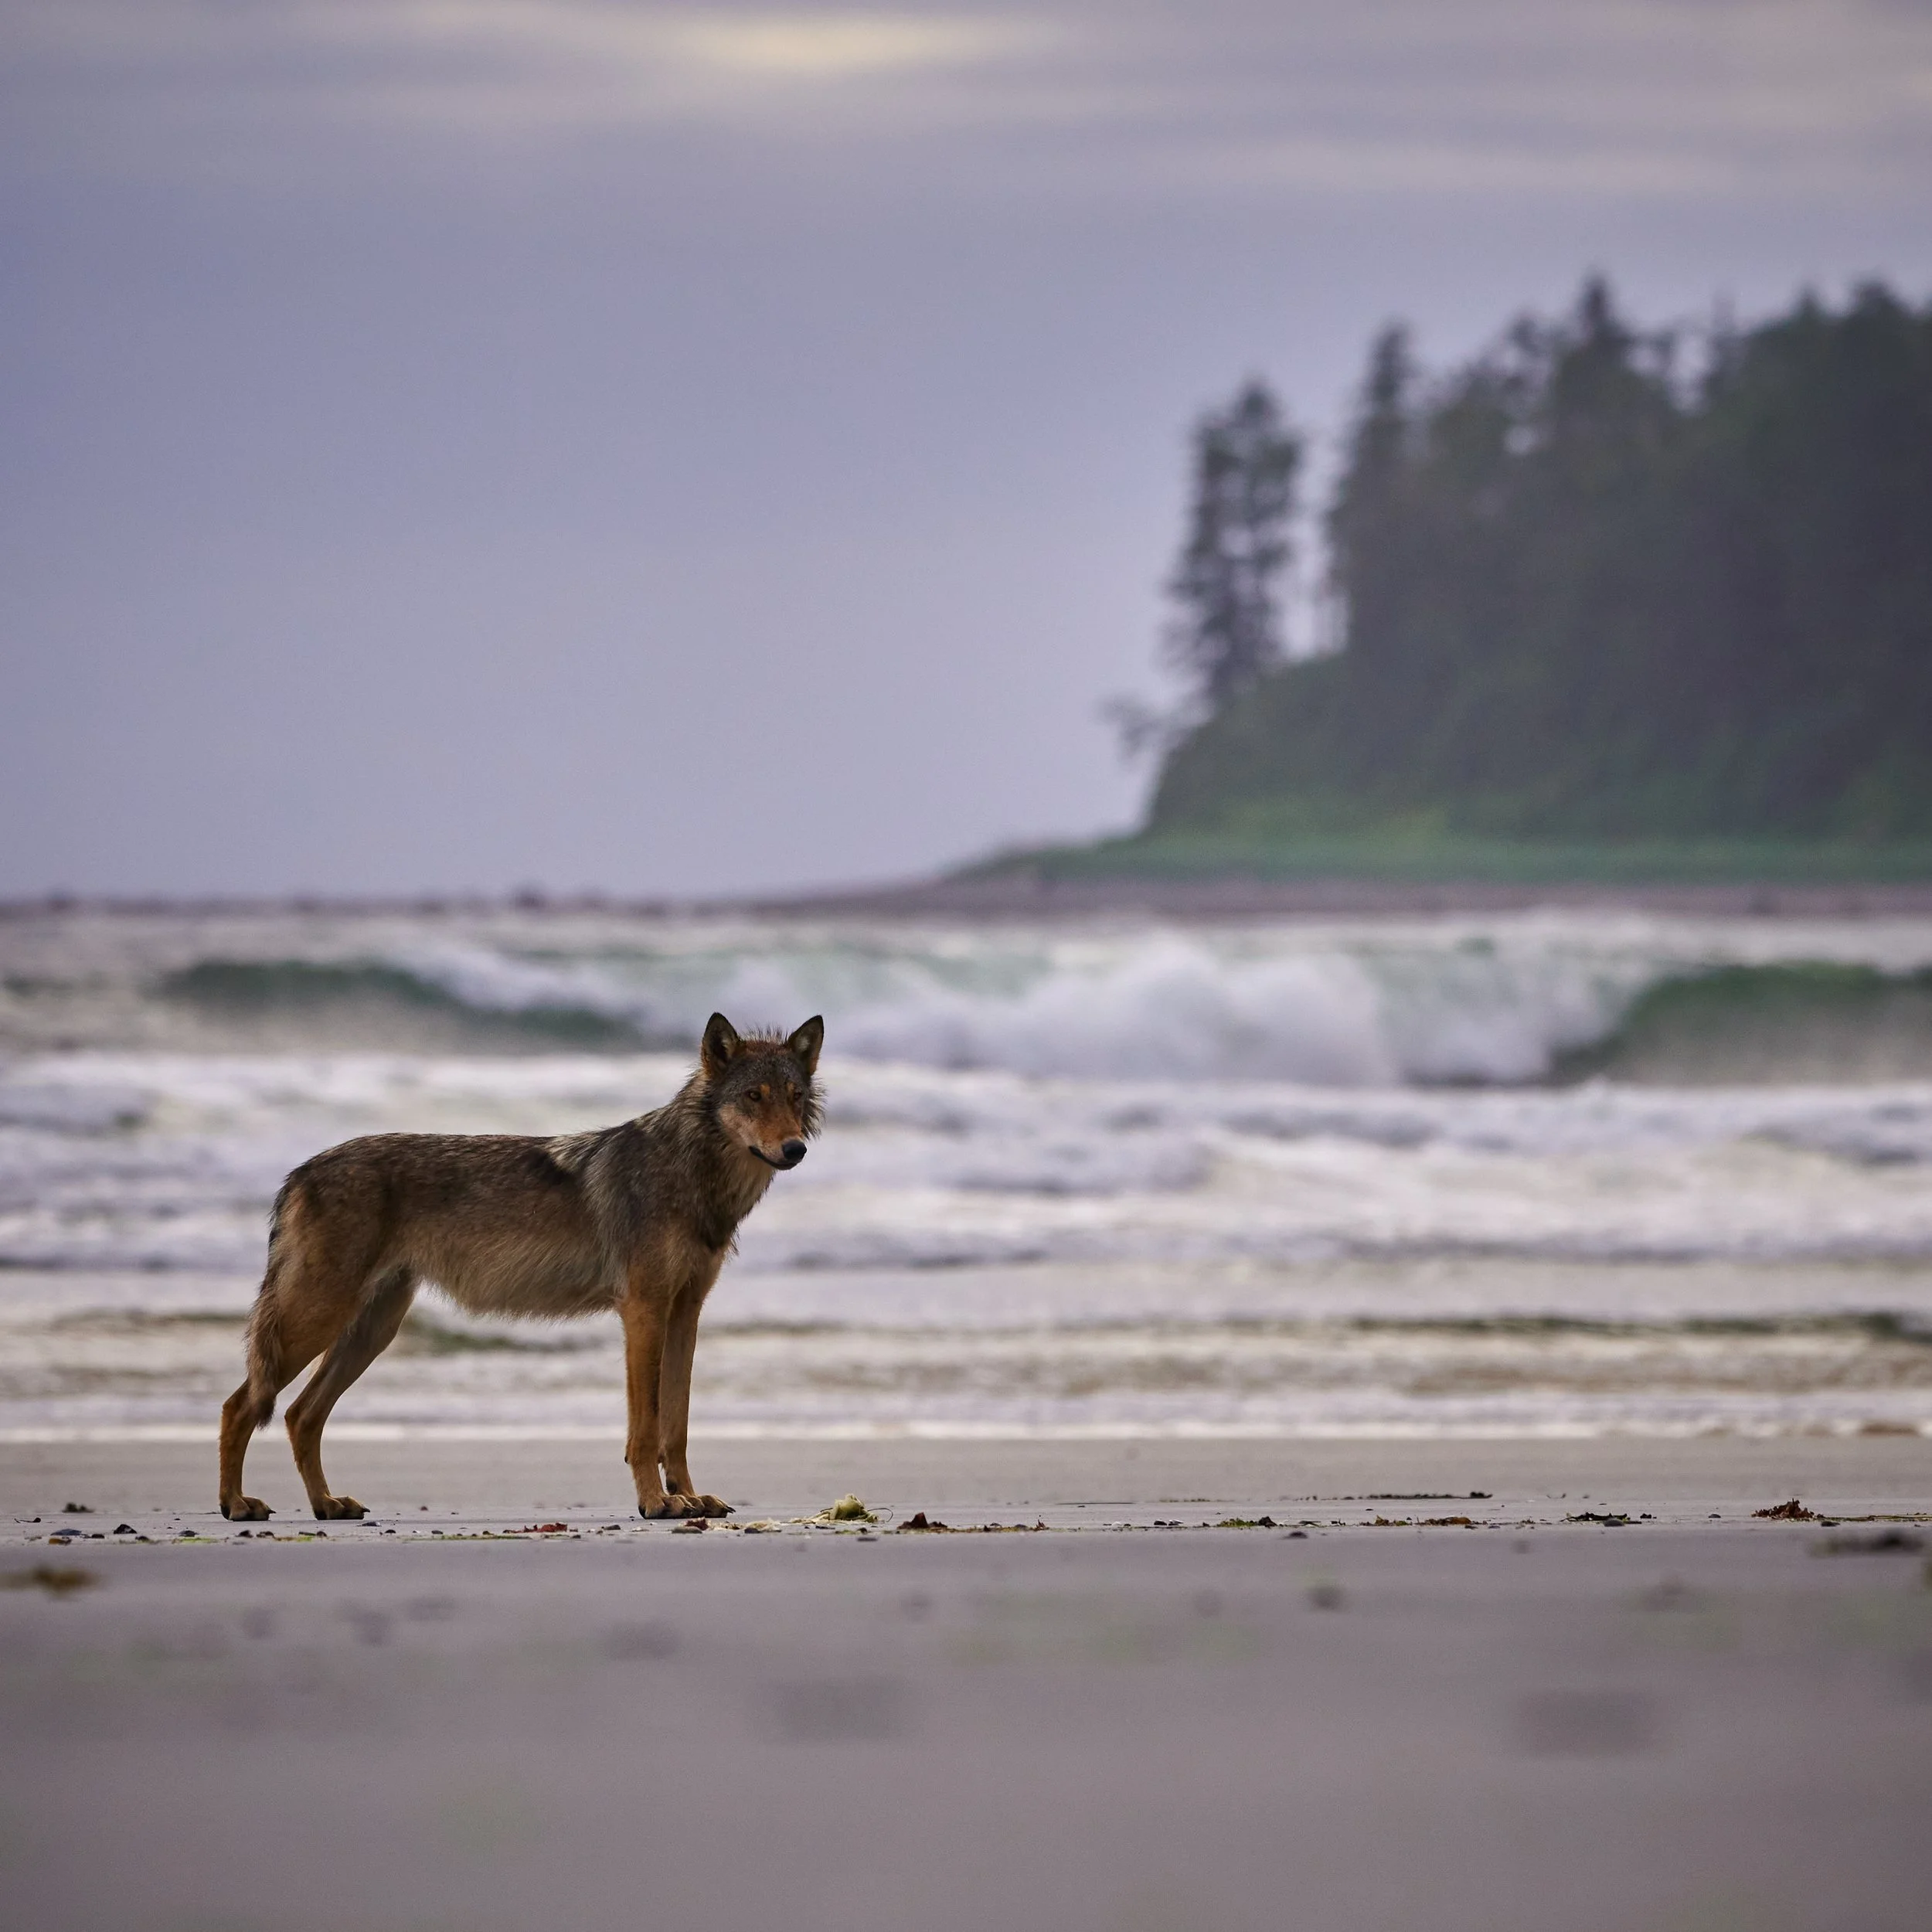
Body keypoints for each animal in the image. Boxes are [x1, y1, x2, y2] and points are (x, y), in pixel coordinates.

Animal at [217, 1012, 823, 1522]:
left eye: (795, 1097)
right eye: (753, 1096)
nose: (796, 1149)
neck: (690, 1173)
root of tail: (300, 1172)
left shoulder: (685, 1313)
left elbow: (677, 1425)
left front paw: (691, 1498)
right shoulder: (643, 1311)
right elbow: (646, 1429)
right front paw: (656, 1503)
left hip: (370, 1332)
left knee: (300, 1415)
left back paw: (326, 1505)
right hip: (319, 1319)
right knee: (241, 1405)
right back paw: (236, 1505)